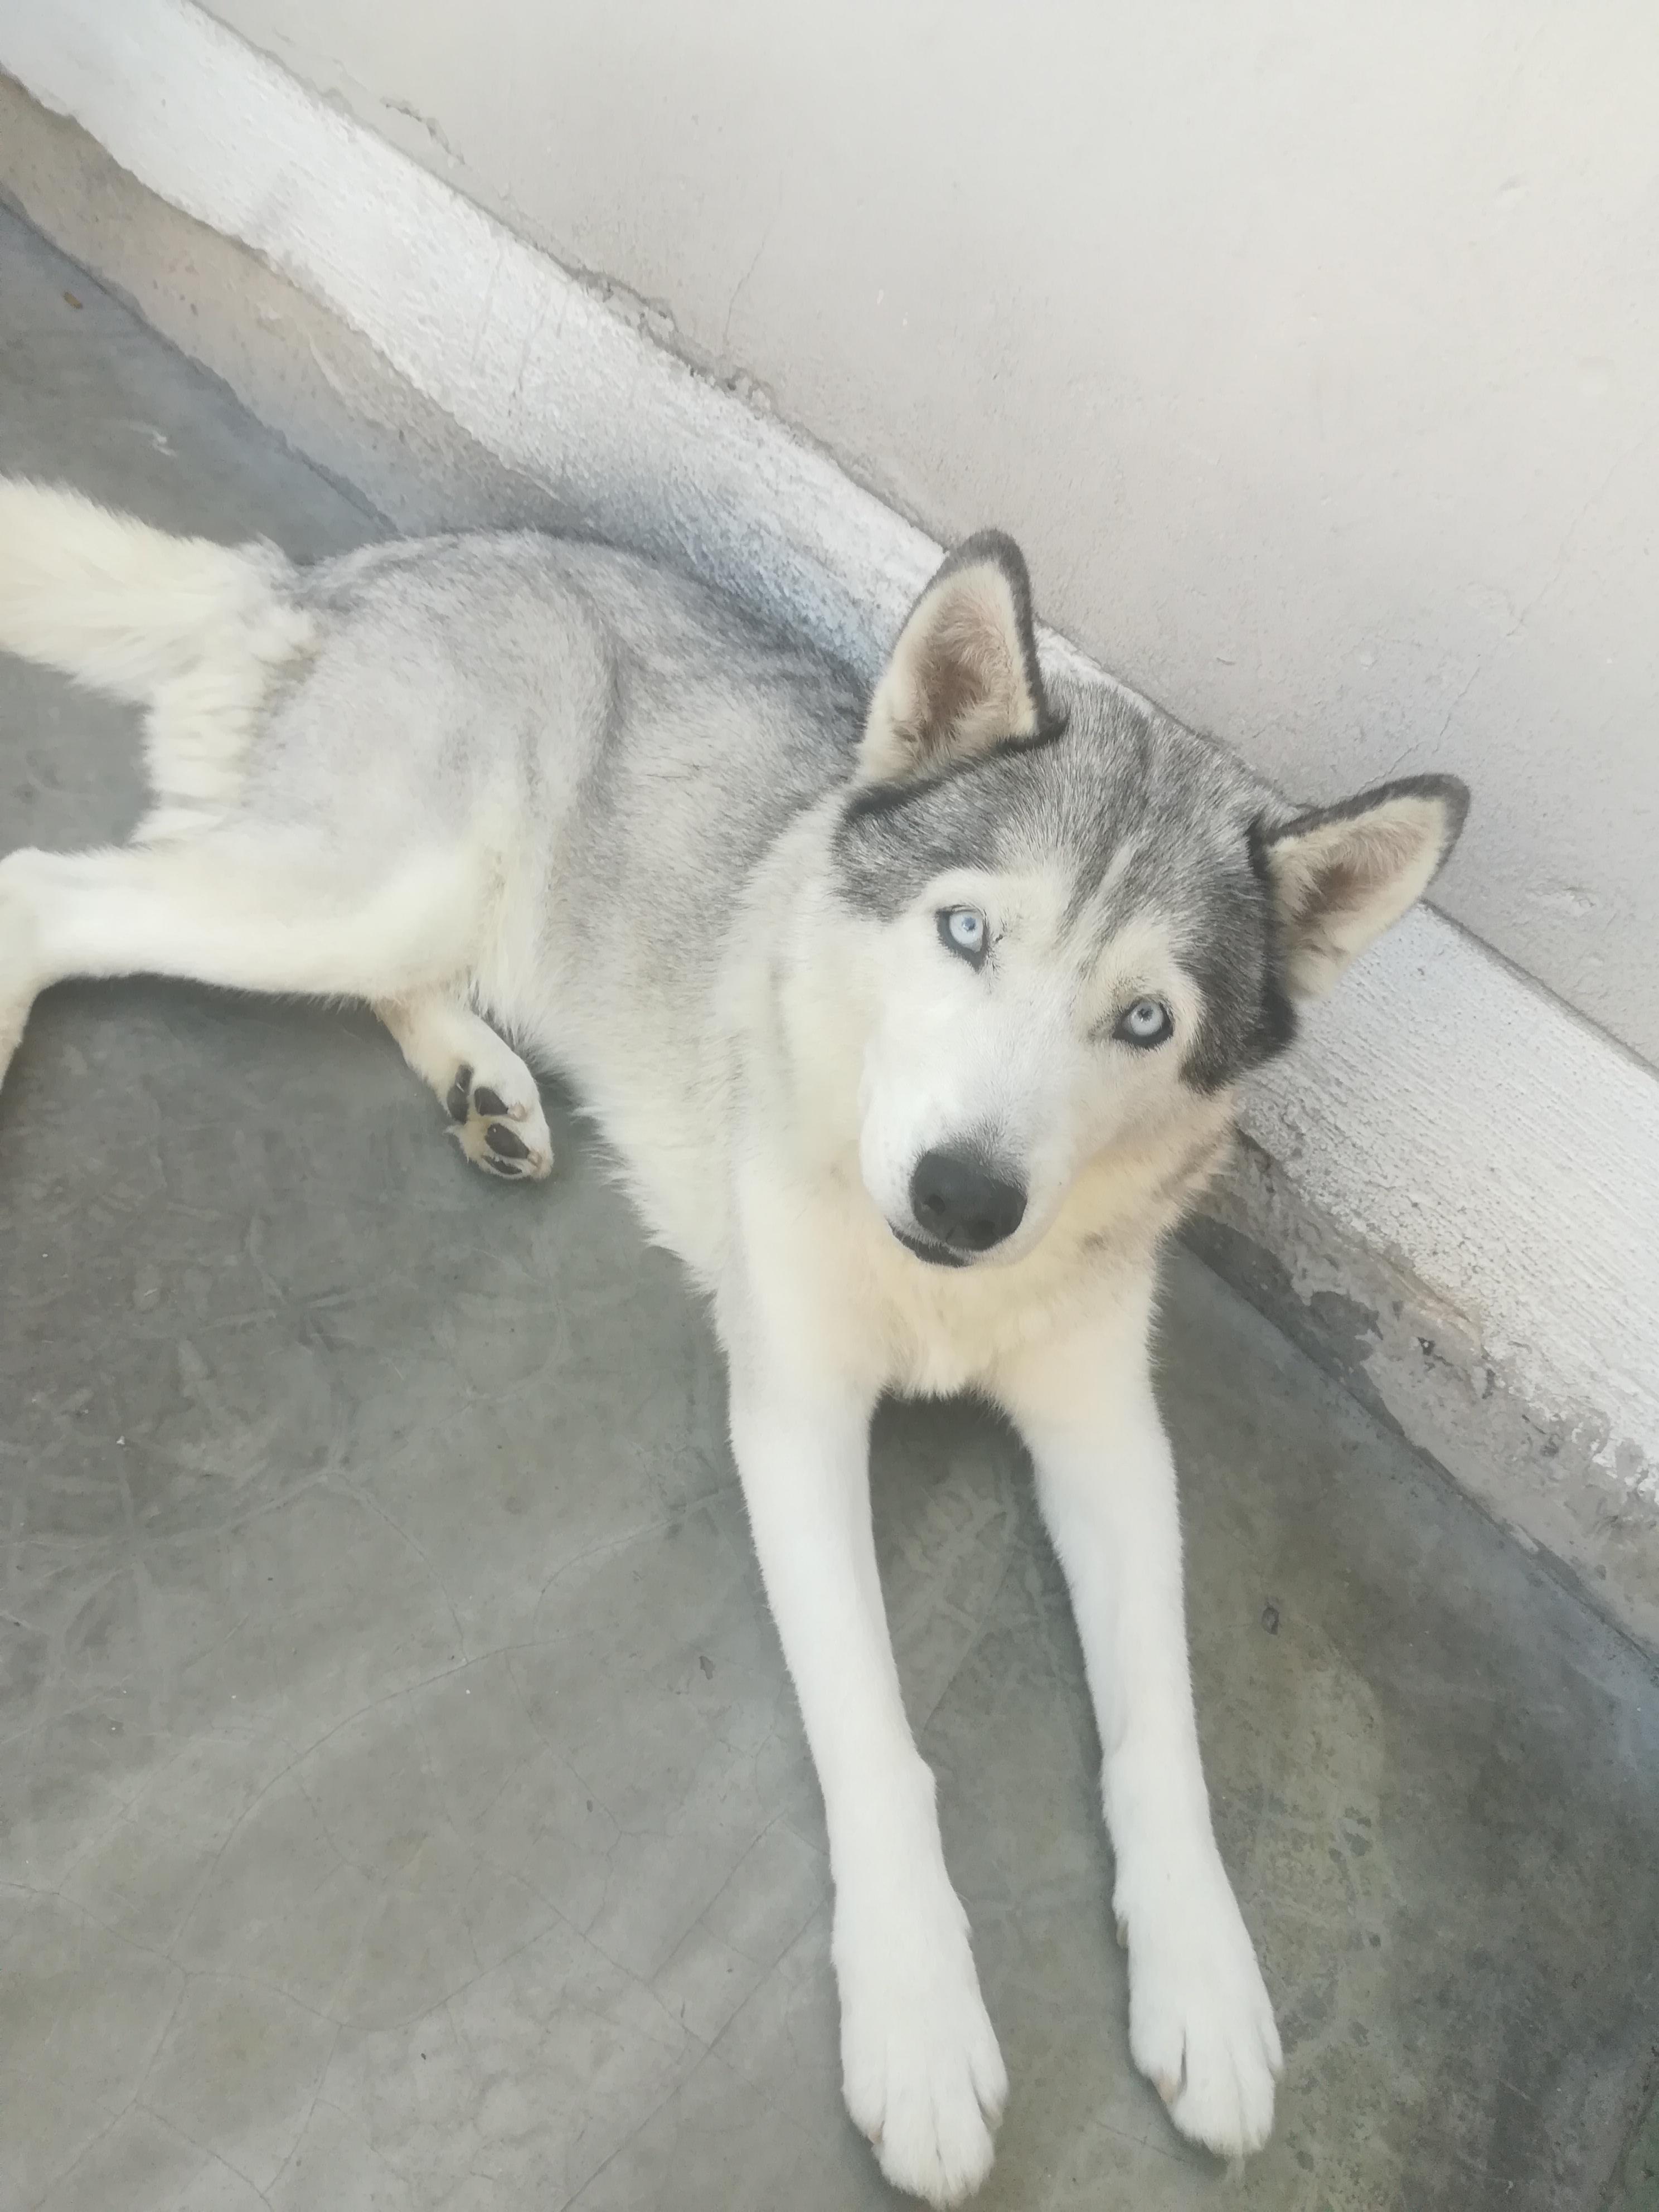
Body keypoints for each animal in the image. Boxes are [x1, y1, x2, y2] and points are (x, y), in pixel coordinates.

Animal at [0, 482, 1466, 2205]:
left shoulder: (1110, 1440)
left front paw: (1207, 1980)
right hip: (378, 885)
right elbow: (879, 1742)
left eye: (1147, 1020)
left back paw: (485, 1083)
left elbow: (1159, 1731)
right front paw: (918, 2019)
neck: (937, 1286)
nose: (965, 1197)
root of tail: (349, 571)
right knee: (50, 889)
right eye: (965, 932)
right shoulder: (797, 1421)